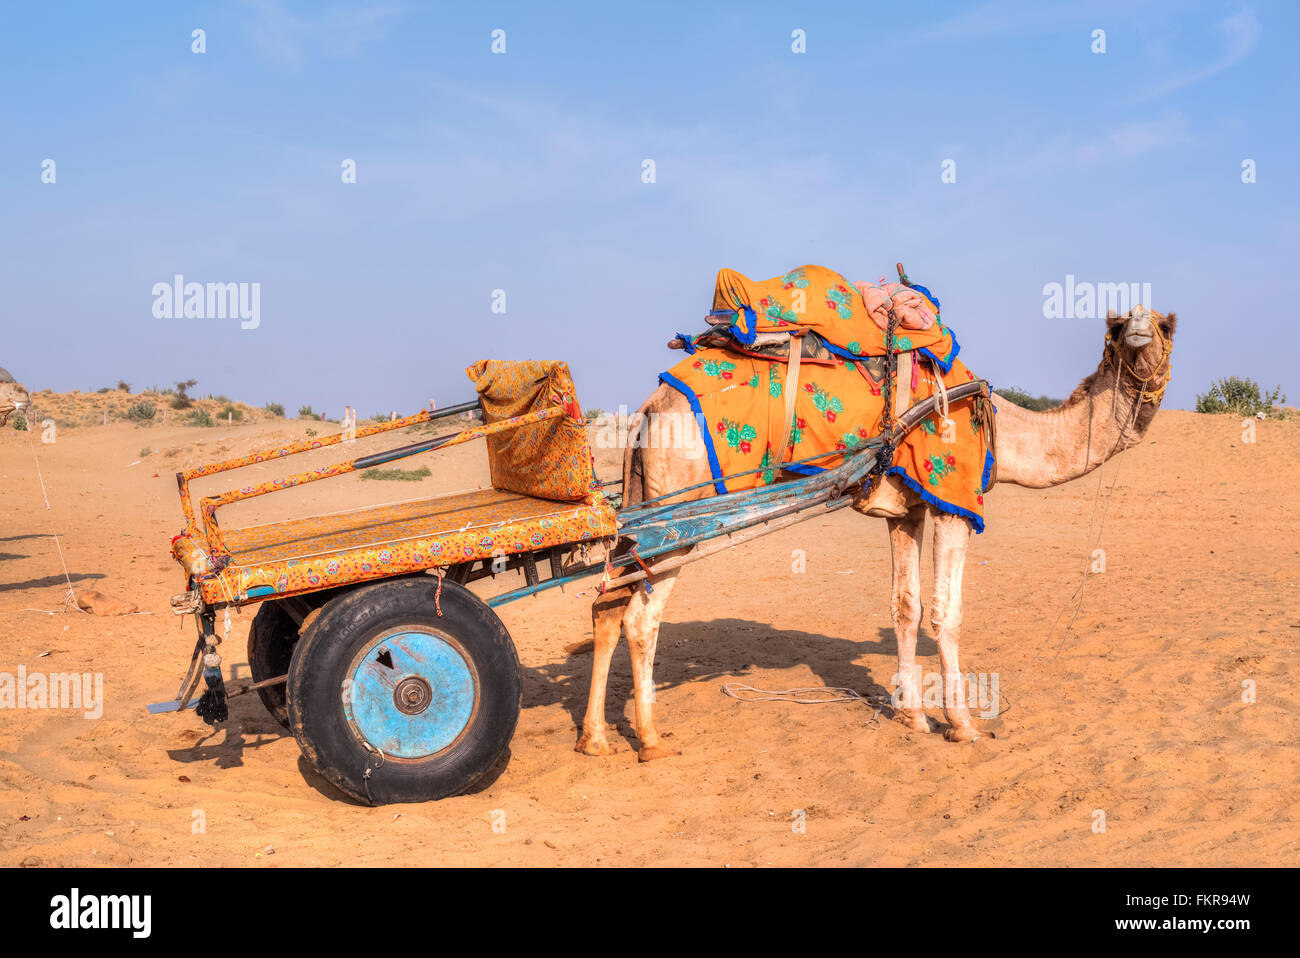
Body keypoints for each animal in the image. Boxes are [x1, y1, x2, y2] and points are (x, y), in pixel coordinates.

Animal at [577, 306, 1176, 759]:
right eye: (1123, 327)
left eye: (1166, 325)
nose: (1139, 331)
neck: (1000, 429)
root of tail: (648, 409)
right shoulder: (954, 501)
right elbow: (946, 612)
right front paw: (962, 724)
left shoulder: (907, 510)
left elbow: (905, 605)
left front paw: (911, 716)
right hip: (682, 514)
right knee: (640, 618)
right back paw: (651, 740)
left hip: (644, 506)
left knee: (606, 606)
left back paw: (595, 738)